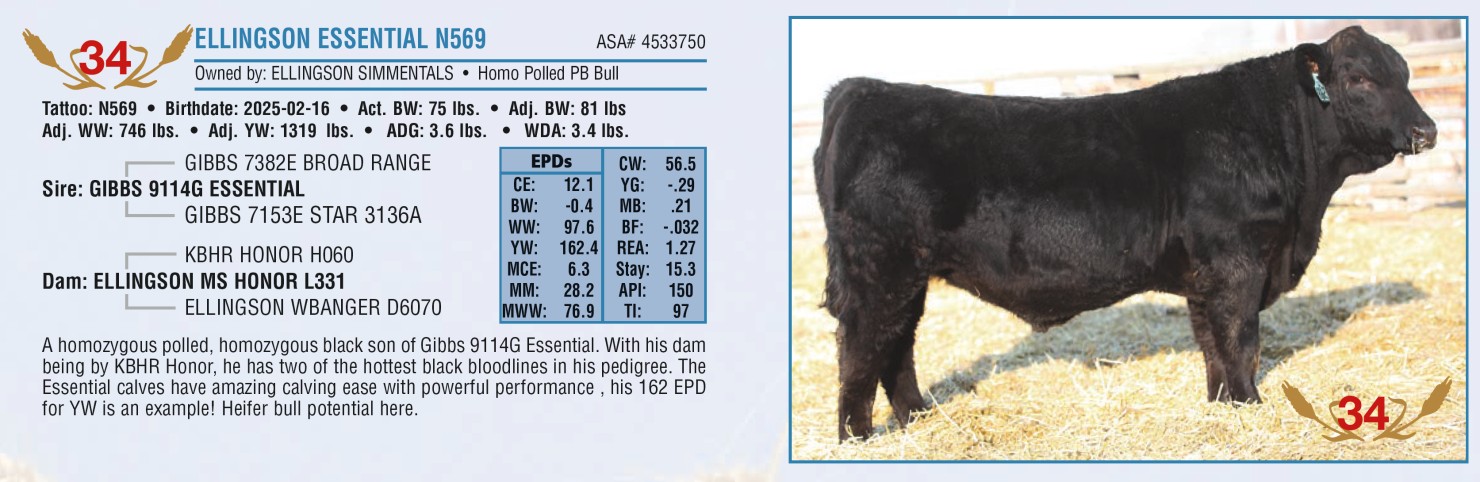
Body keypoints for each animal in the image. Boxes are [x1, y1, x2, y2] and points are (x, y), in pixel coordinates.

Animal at [813, 26, 1437, 441]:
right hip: (879, 268)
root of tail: (860, 90)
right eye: (1358, 78)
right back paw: (858, 437)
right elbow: (1242, 341)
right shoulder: (1237, 264)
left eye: (1405, 74)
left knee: (897, 346)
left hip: (908, 274)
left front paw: (1223, 406)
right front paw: (1251, 405)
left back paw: (920, 419)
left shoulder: (1205, 277)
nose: (1426, 131)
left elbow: (1213, 344)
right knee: (861, 346)